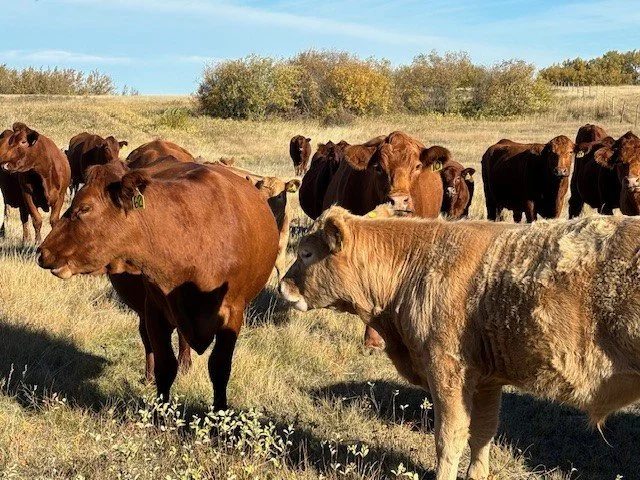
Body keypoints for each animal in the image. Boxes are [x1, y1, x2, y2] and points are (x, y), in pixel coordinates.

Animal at [38, 159, 279, 410]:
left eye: (84, 209)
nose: (43, 250)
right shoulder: (155, 311)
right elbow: (165, 366)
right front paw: (159, 412)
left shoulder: (233, 313)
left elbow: (219, 368)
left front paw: (220, 413)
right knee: (148, 340)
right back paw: (150, 375)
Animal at [280, 205, 640, 480]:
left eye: (306, 253)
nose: (283, 286)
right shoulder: (487, 380)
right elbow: (482, 431)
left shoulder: (446, 368)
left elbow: (449, 436)